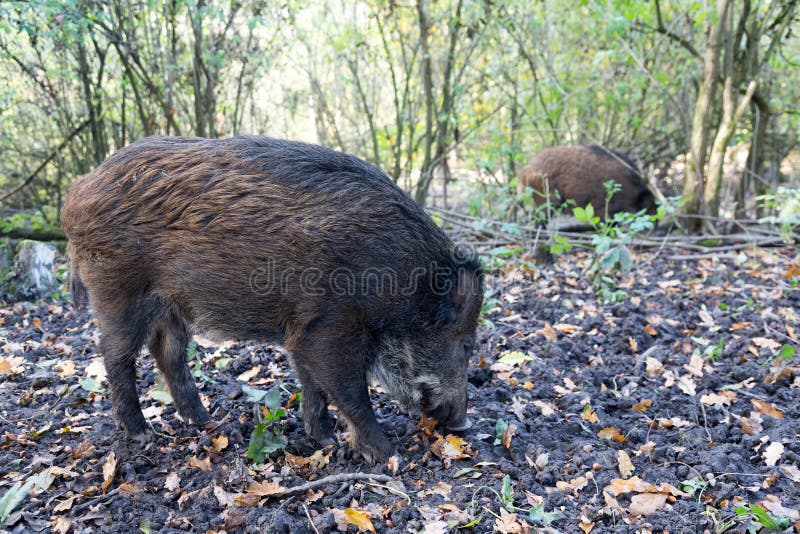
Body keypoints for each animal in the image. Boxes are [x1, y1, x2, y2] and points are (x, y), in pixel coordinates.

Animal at [61, 136, 483, 463]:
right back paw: (140, 434)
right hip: (118, 292)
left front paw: (324, 439)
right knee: (115, 354)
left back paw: (204, 420)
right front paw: (388, 456)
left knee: (167, 353)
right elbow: (351, 394)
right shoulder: (330, 329)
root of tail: (76, 193)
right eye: (466, 344)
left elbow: (313, 385)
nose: (462, 422)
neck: (404, 285)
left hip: (172, 306)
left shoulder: (303, 332)